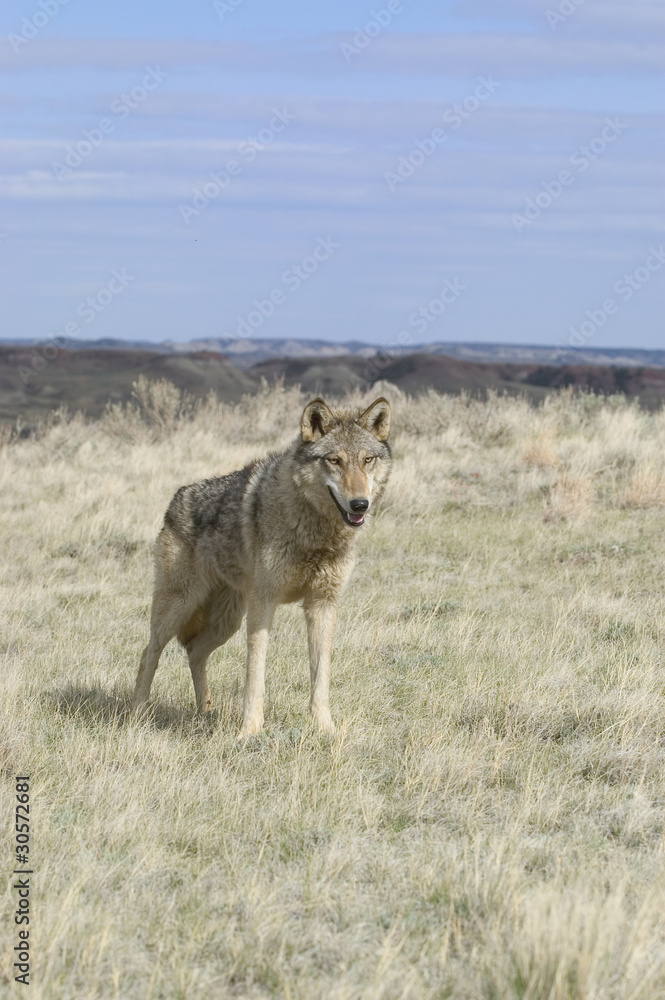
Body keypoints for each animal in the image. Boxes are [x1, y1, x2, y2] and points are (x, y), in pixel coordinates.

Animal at [132, 396, 392, 737]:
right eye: (334, 460)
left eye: (367, 460)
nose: (360, 504)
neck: (313, 533)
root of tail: (176, 499)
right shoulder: (264, 603)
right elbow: (255, 675)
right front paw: (250, 731)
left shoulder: (323, 604)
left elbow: (320, 676)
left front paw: (325, 728)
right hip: (178, 608)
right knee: (149, 652)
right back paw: (138, 712)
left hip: (226, 621)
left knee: (195, 652)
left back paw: (206, 711)